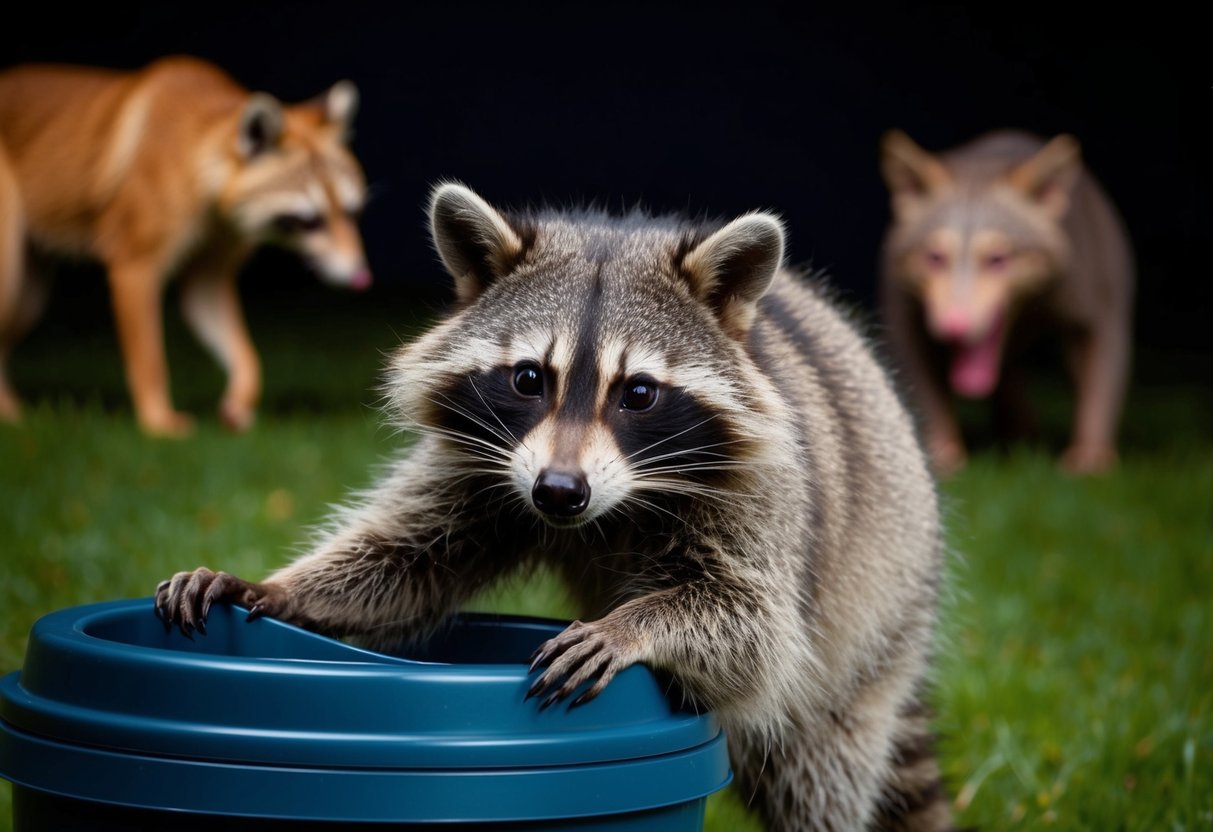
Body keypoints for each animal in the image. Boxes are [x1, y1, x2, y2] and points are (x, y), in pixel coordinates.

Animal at [157, 183, 951, 831]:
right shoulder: (485, 459)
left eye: (638, 393)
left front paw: (636, 623)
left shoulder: (758, 496)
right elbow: (409, 556)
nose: (559, 492)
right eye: (528, 378)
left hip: (871, 622)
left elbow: (753, 625)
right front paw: (278, 588)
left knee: (816, 768)